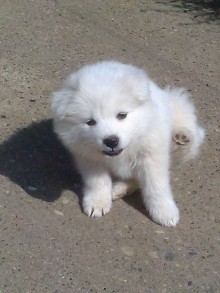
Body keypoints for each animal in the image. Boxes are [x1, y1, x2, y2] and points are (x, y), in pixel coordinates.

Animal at [52, 60, 205, 227]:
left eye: (122, 115)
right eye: (90, 122)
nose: (111, 141)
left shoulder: (152, 156)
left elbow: (156, 186)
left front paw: (165, 213)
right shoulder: (88, 158)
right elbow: (97, 181)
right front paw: (97, 203)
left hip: (179, 112)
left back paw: (181, 138)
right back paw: (117, 190)